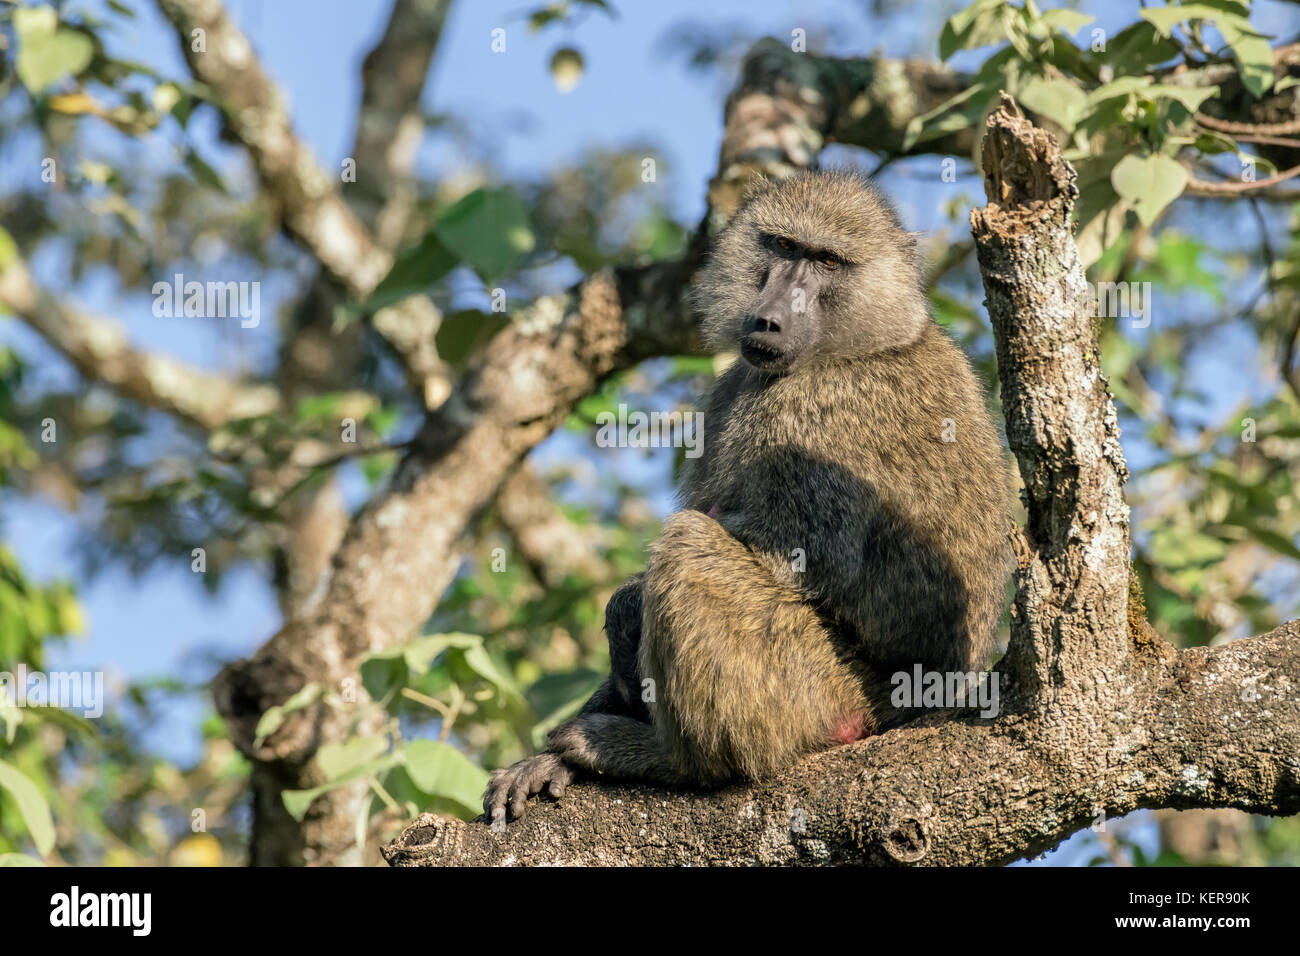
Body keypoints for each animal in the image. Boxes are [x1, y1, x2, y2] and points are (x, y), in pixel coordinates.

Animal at [483, 168, 1011, 822]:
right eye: (783, 247)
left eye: (828, 261)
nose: (770, 319)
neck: (861, 344)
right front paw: (546, 759)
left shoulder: (813, 423)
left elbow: (789, 561)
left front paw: (627, 612)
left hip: (820, 687)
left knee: (689, 550)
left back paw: (669, 760)